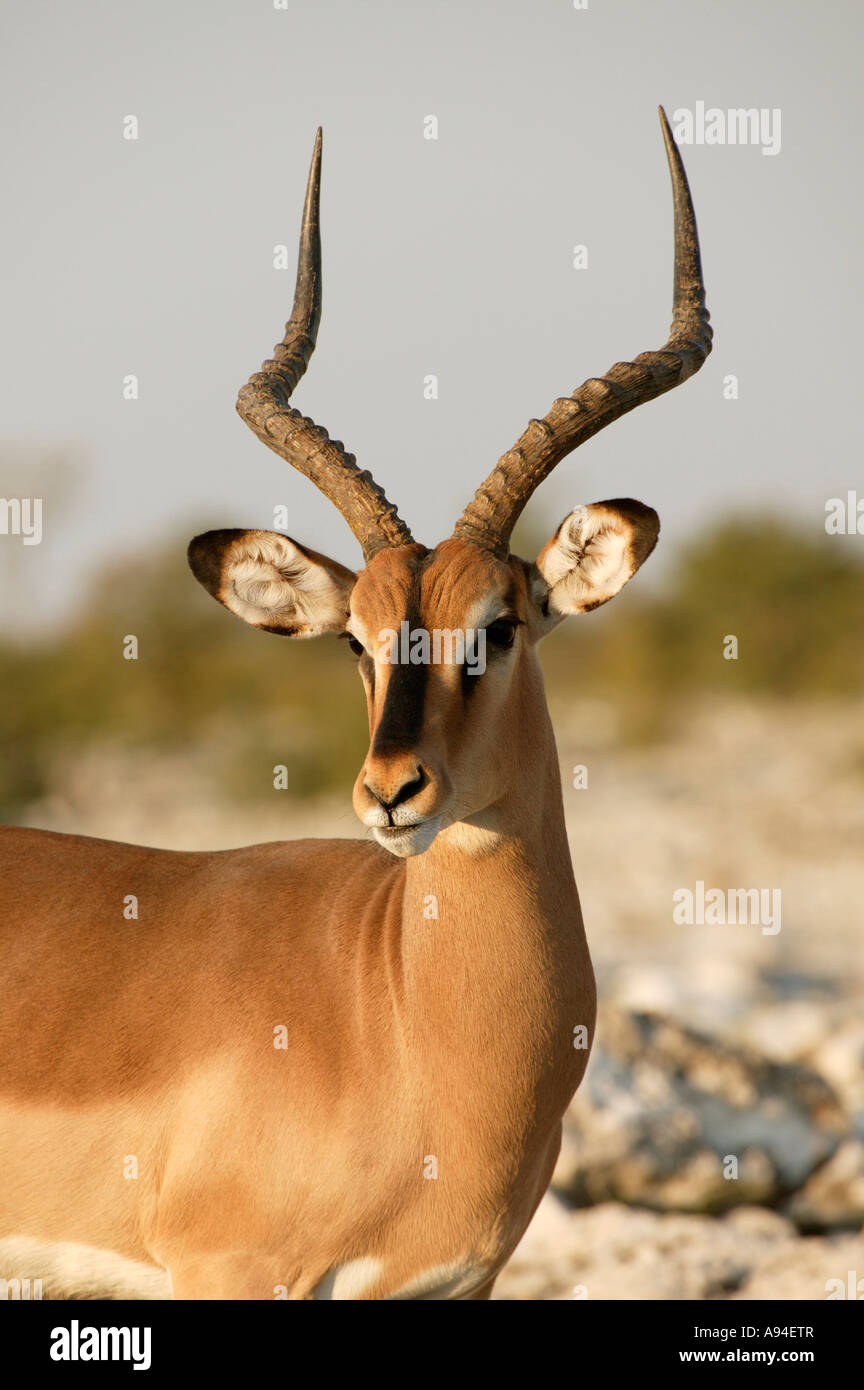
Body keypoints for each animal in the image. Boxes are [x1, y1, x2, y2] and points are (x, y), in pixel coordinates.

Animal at [0, 109, 710, 1300]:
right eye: (356, 640)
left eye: (500, 624)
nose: (391, 791)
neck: (405, 1018)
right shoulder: (229, 1271)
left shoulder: (456, 1284)